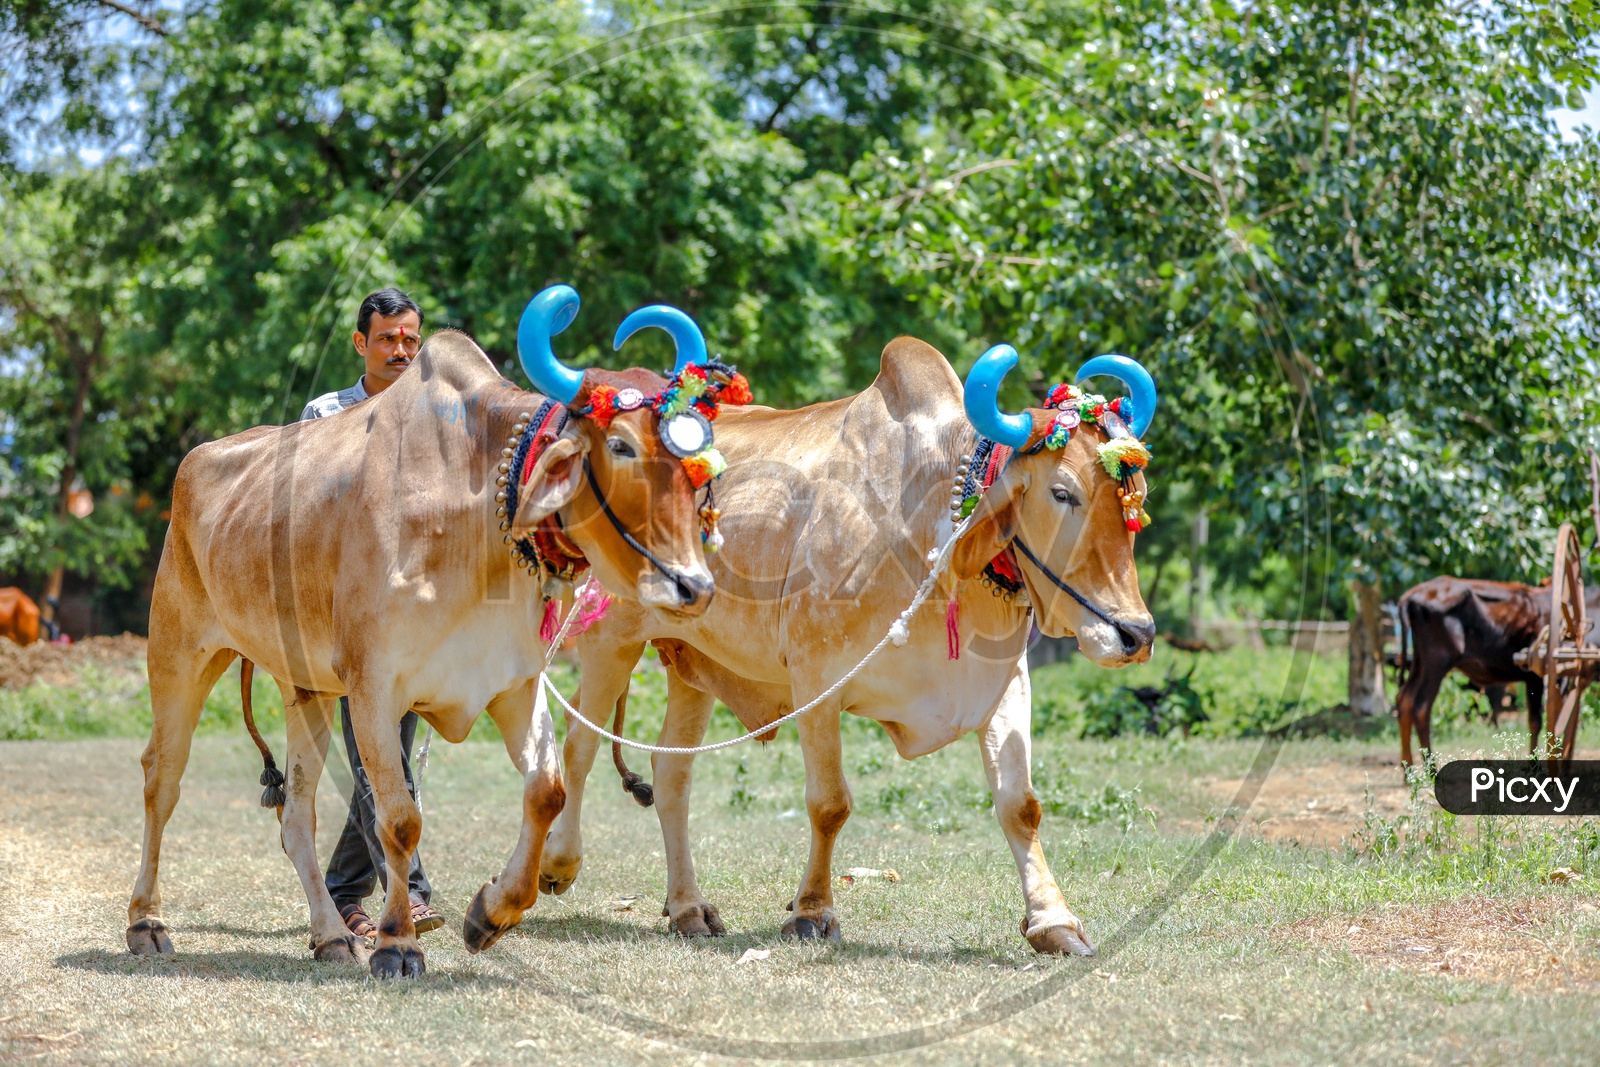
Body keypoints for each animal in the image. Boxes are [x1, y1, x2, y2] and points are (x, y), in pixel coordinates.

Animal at [126, 286, 728, 978]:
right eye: (623, 446)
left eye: (696, 459)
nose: (693, 585)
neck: (471, 516)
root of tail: (195, 461)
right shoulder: (373, 688)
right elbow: (398, 819)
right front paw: (397, 942)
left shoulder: (513, 681)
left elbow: (545, 791)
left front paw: (490, 913)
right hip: (179, 653)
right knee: (162, 780)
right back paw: (147, 922)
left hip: (306, 690)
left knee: (296, 816)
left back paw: (331, 936)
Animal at [539, 339, 1156, 956]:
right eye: (1063, 492)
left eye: (1135, 497)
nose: (1137, 634)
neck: (929, 522)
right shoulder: (817, 678)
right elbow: (829, 804)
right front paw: (812, 912)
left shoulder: (1005, 682)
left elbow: (1020, 805)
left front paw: (1055, 921)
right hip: (609, 641)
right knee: (579, 746)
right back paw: (558, 864)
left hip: (692, 665)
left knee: (671, 777)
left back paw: (688, 907)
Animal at [1394, 576, 1600, 766]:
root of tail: (1410, 597)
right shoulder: (1538, 675)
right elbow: (1538, 721)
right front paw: (1534, 765)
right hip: (1436, 663)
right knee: (1421, 707)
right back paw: (1431, 770)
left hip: (1420, 662)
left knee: (1404, 699)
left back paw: (1408, 770)